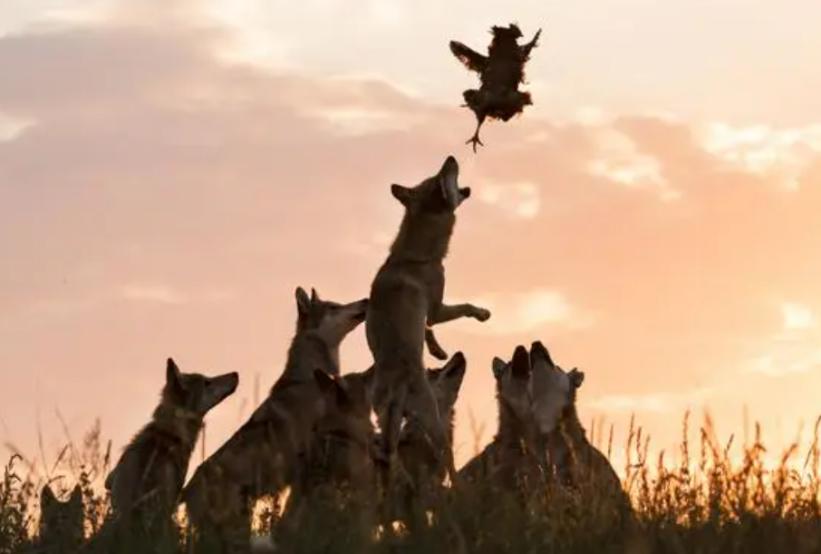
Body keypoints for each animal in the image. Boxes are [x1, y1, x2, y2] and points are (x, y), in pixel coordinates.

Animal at [366, 155, 490, 484]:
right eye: (441, 179)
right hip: (435, 421)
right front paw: (482, 314)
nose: (451, 157)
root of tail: (397, 386)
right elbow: (461, 308)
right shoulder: (436, 306)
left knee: (390, 452)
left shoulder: (428, 314)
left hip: (387, 421)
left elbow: (428, 330)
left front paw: (437, 350)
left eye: (433, 175)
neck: (413, 256)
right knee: (446, 458)